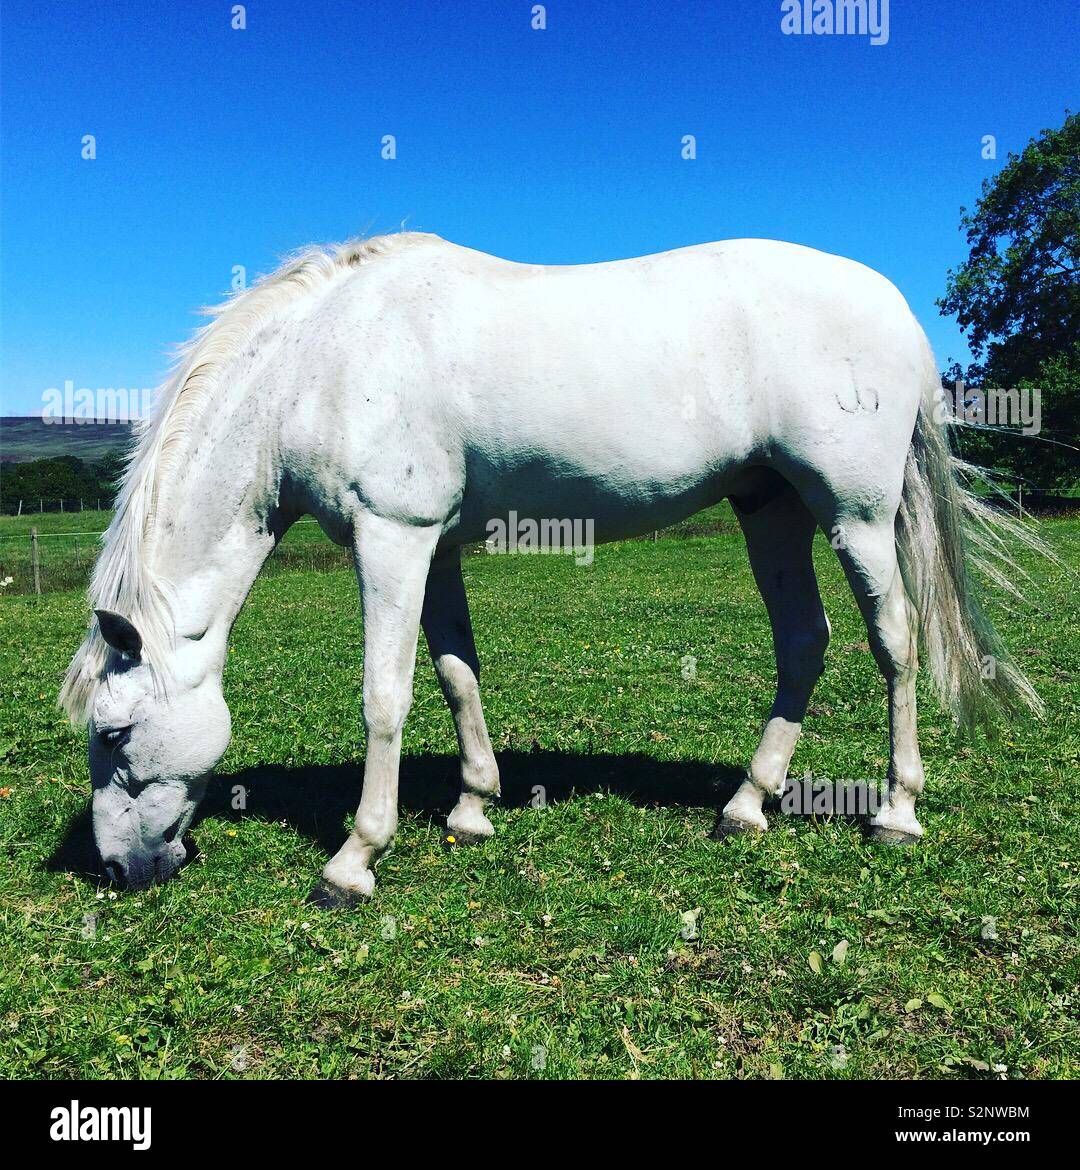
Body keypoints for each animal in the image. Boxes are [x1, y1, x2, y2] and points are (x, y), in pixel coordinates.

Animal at [60, 232, 1041, 899]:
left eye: (113, 734)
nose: (116, 870)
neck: (321, 364)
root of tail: (895, 308)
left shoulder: (392, 538)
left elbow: (385, 696)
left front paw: (355, 859)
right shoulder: (433, 546)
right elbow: (456, 671)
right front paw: (471, 810)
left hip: (857, 517)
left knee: (894, 645)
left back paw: (897, 812)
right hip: (771, 508)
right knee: (804, 641)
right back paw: (746, 805)